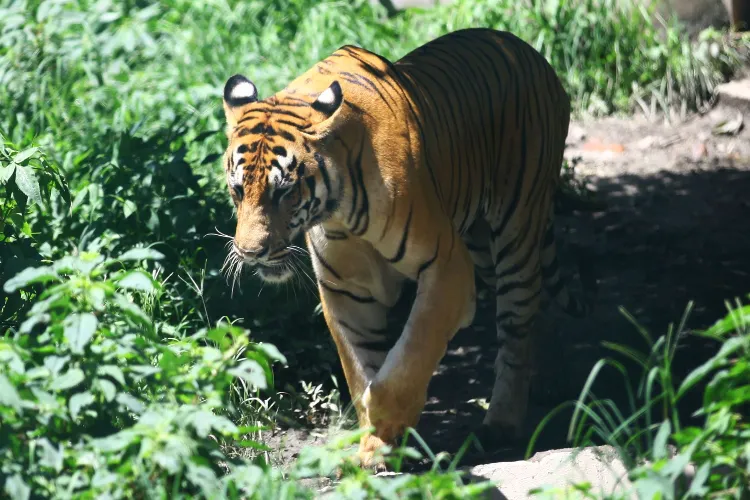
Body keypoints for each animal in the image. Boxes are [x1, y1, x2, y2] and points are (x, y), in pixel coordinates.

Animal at [219, 27, 590, 467]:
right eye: (238, 190)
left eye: (285, 192)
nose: (250, 252)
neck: (339, 213)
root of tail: (523, 47)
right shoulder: (346, 290)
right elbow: (361, 370)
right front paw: (375, 446)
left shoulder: (446, 266)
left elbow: (407, 358)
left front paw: (389, 426)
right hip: (482, 246)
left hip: (517, 229)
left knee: (517, 329)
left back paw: (503, 421)